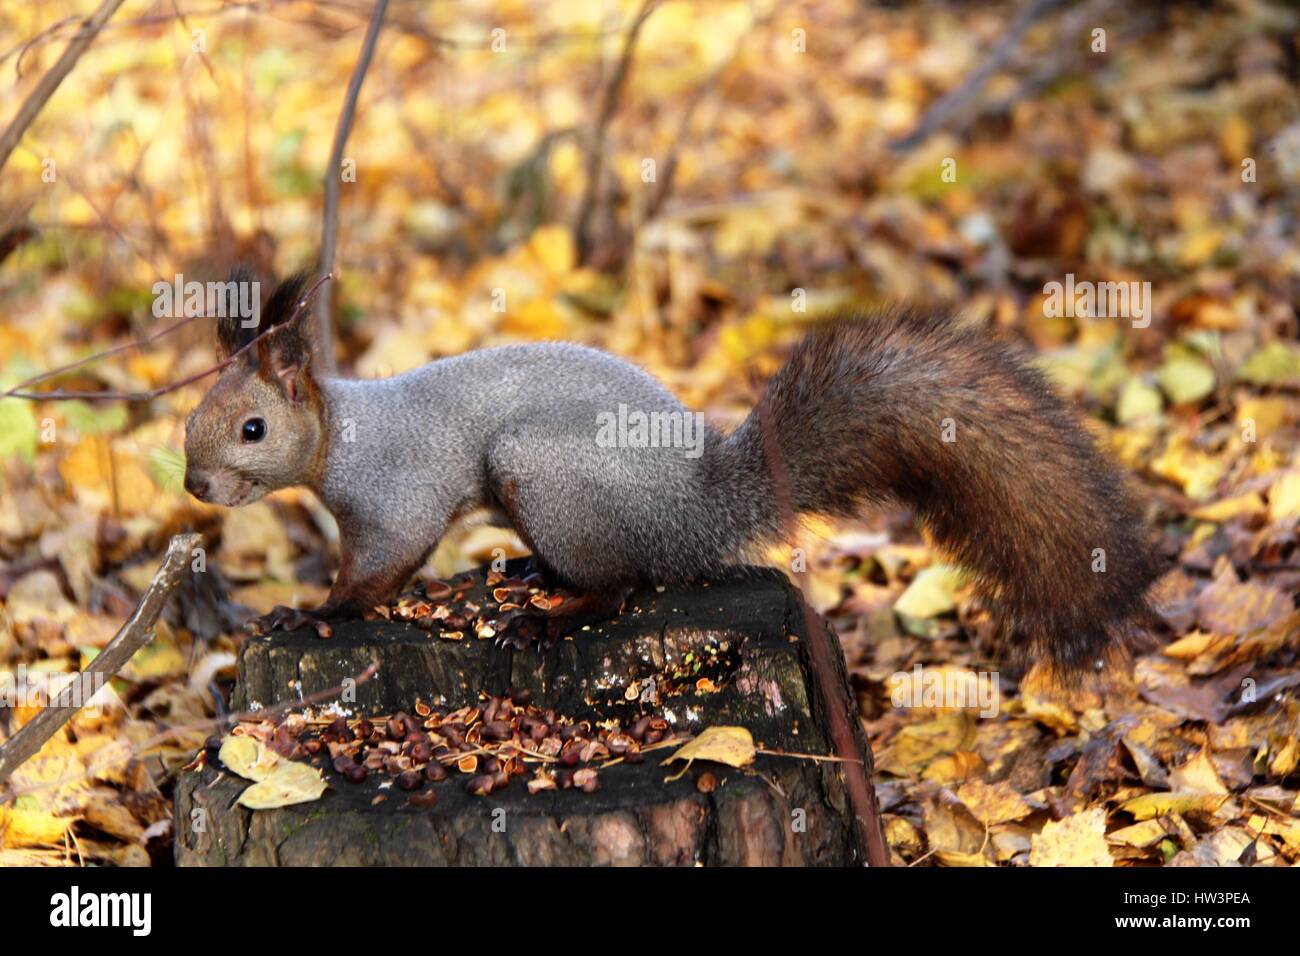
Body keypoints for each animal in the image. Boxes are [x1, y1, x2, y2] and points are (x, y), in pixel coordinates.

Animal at [183, 272, 1162, 677]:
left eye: (252, 429)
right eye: (191, 421)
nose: (195, 488)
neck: (344, 435)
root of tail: (697, 509)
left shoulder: (397, 492)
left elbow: (382, 567)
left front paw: (314, 613)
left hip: (542, 472)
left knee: (625, 581)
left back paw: (556, 613)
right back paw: (532, 574)